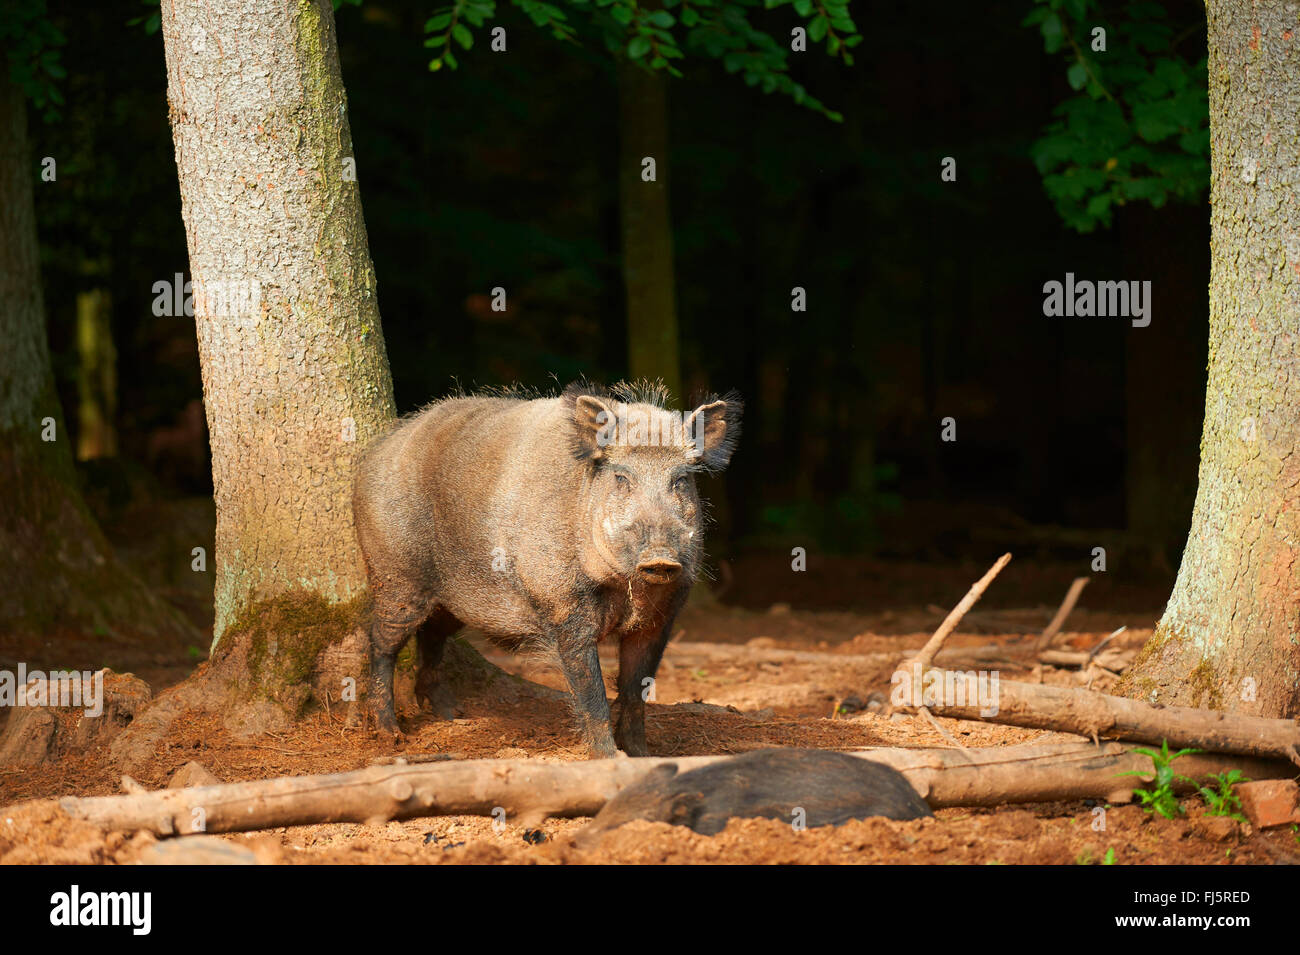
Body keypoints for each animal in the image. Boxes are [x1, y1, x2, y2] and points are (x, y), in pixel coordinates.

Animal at [352, 380, 741, 757]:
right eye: (620, 478)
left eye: (681, 479)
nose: (660, 557)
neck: (626, 588)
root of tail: (377, 453)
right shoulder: (562, 605)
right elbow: (591, 693)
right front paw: (610, 759)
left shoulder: (661, 617)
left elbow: (636, 690)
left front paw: (641, 755)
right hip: (396, 577)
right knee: (381, 643)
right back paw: (391, 735)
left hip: (453, 599)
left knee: (431, 637)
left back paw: (454, 716)